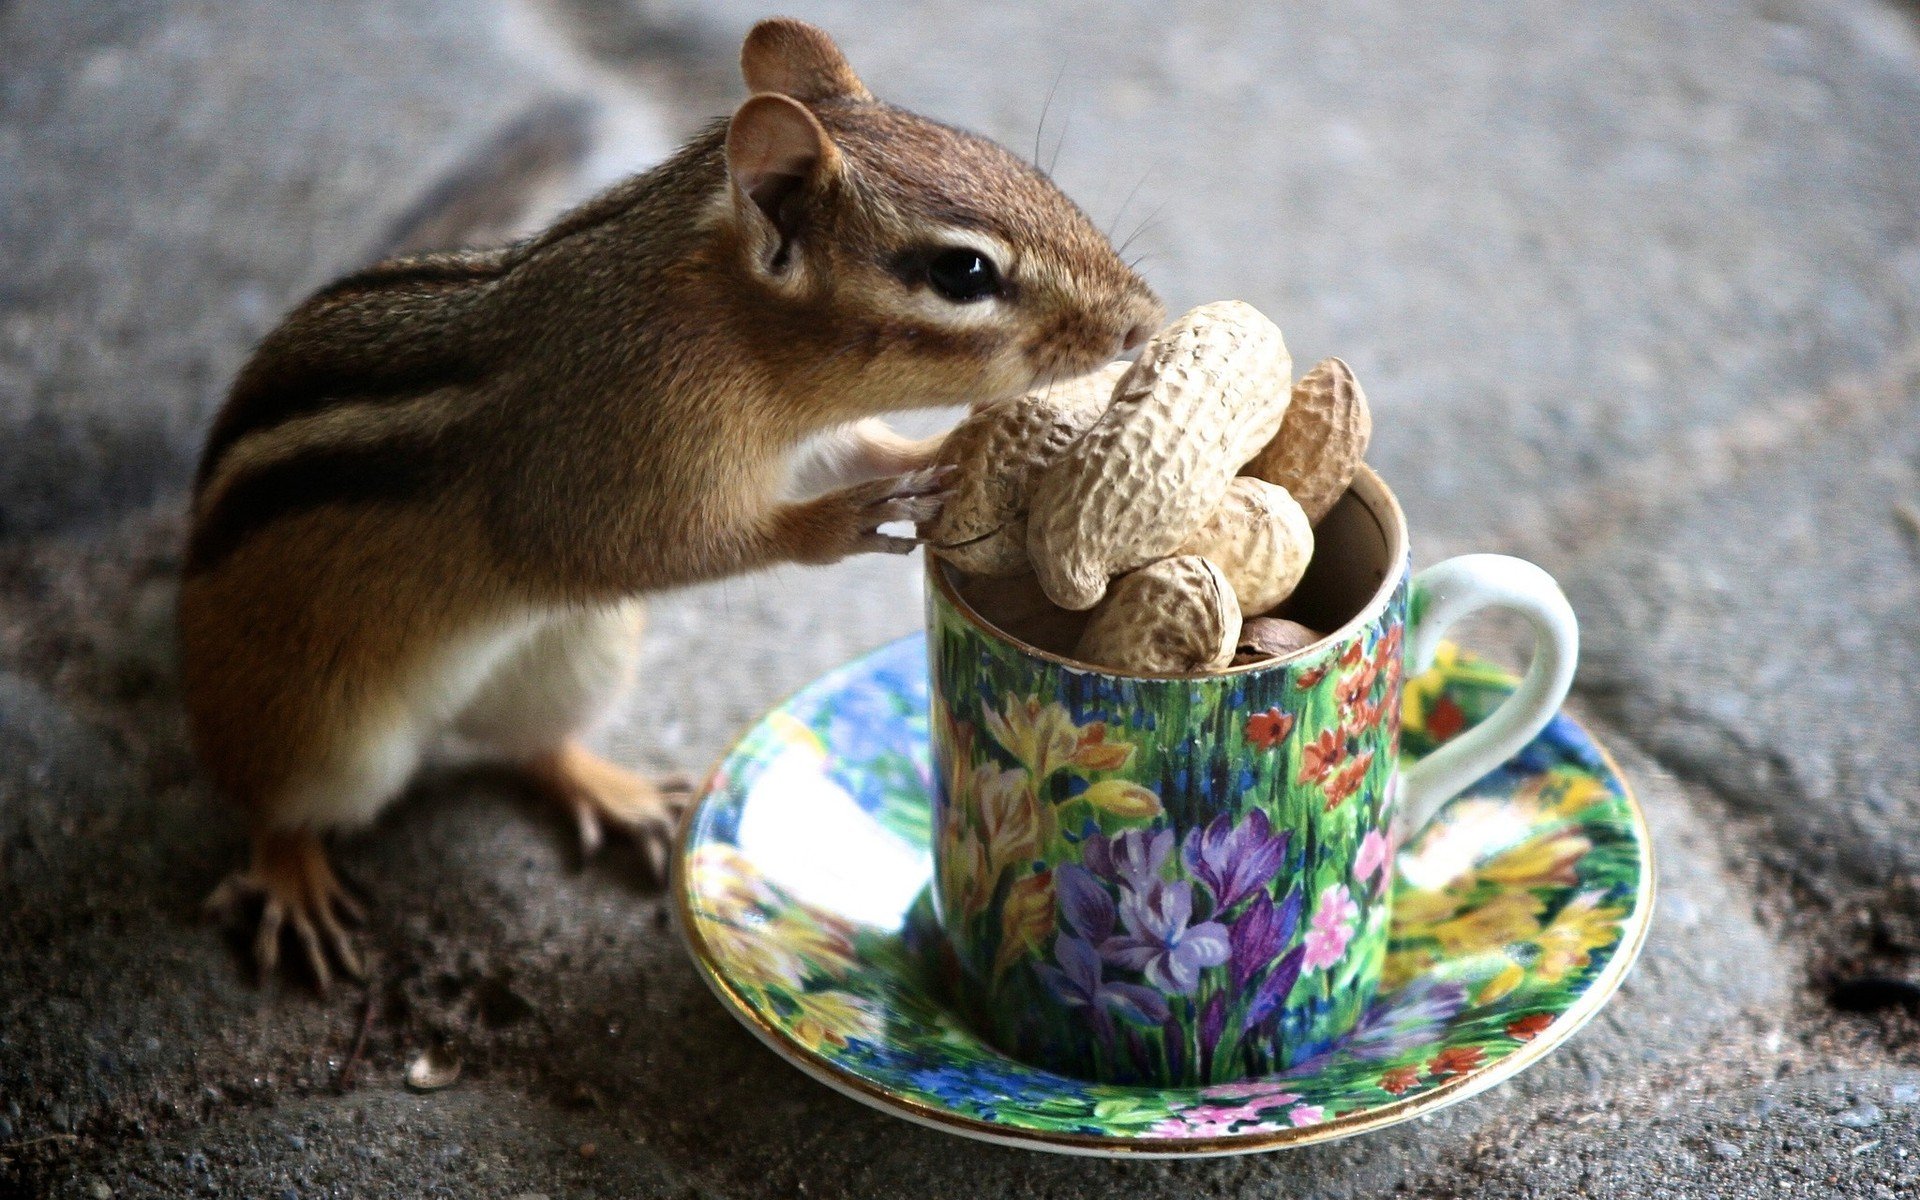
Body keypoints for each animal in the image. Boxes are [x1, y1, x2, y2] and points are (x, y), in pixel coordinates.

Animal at [181, 18, 1163, 989]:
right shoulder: (602, 482)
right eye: (963, 271)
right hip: (319, 728)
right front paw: (842, 520)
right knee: (269, 802)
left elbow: (858, 445)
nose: (1143, 320)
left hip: (577, 657)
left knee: (532, 746)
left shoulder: (793, 442)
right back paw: (292, 879)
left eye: (1025, 169)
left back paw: (612, 792)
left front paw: (952, 450)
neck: (725, 326)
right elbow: (675, 546)